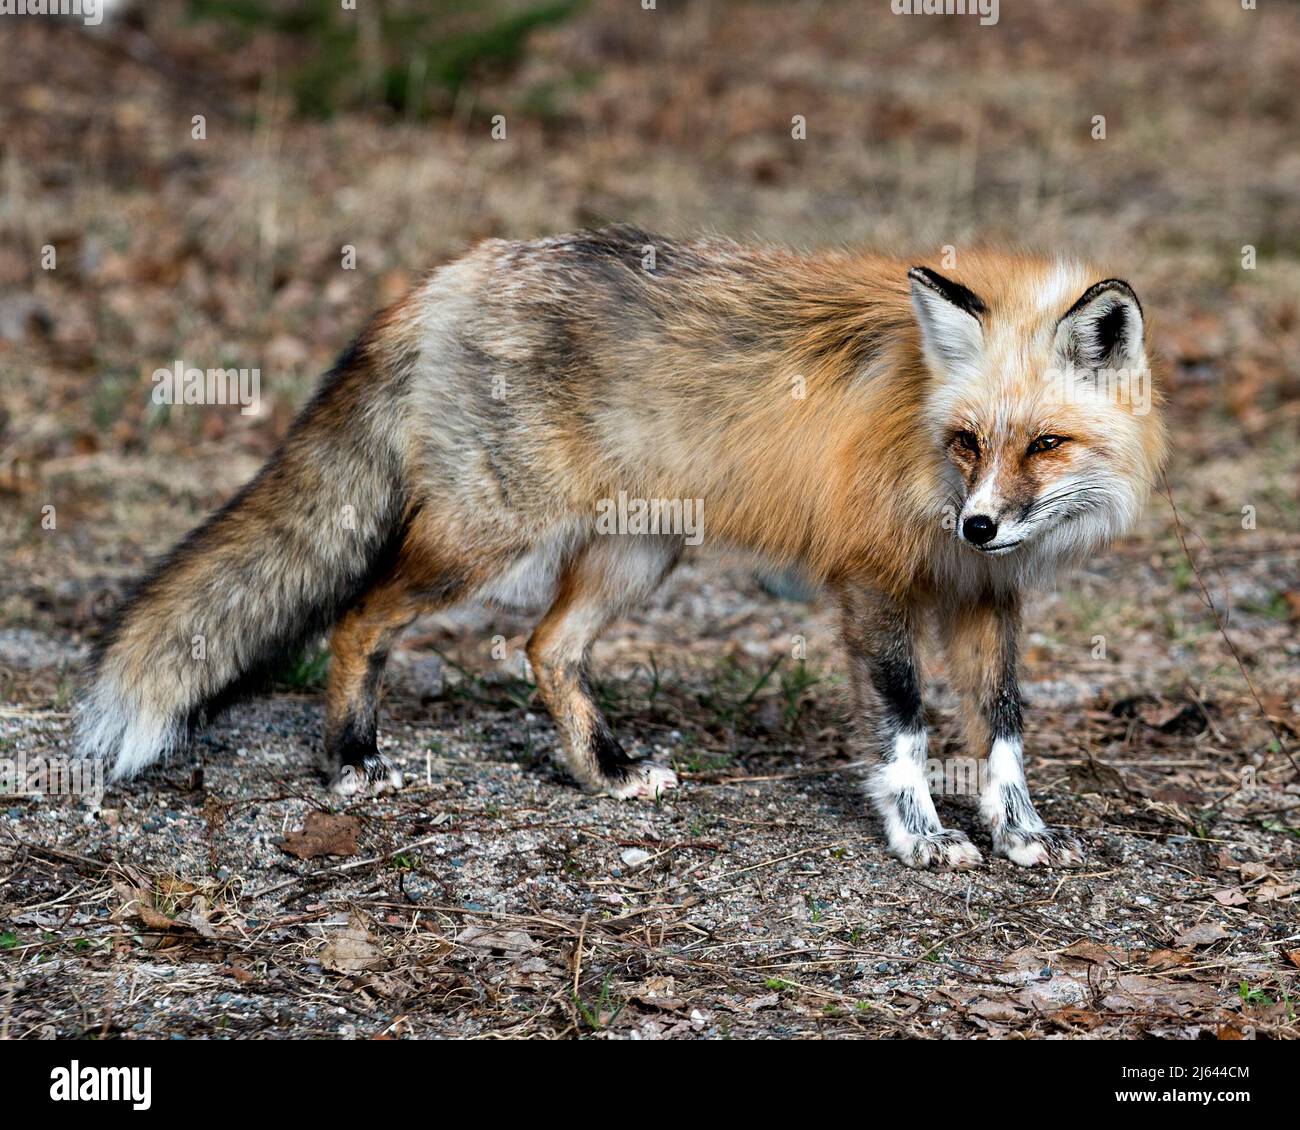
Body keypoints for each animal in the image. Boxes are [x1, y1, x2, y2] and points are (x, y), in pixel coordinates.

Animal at [80, 226, 1167, 869]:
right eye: (968, 441)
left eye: (1044, 443)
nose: (979, 523)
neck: (921, 441)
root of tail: (447, 275)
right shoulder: (873, 584)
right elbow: (902, 727)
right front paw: (920, 836)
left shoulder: (987, 595)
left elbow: (1001, 726)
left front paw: (1018, 829)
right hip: (484, 540)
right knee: (357, 620)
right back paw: (351, 760)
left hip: (636, 554)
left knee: (545, 649)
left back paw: (602, 772)